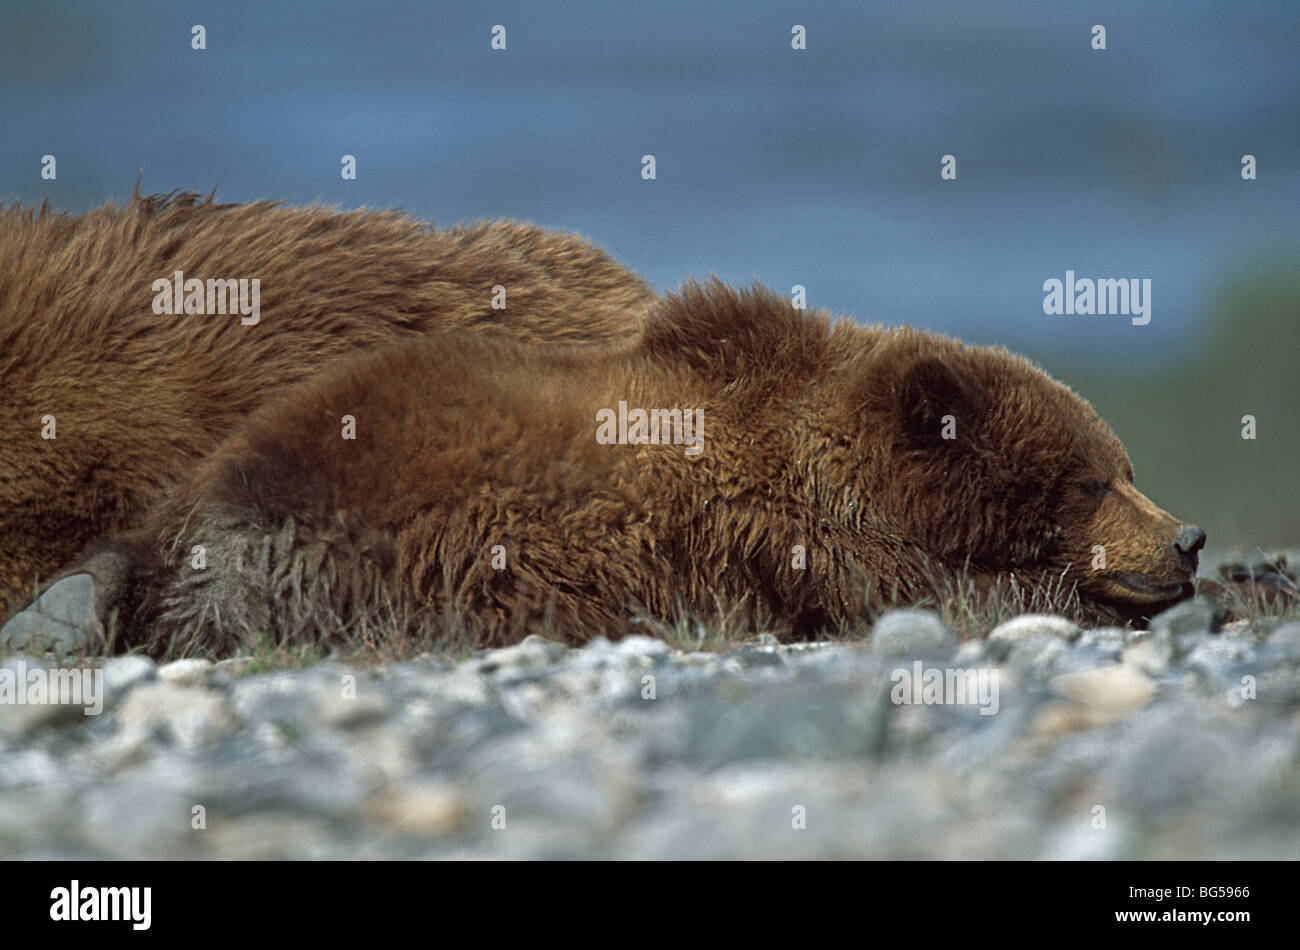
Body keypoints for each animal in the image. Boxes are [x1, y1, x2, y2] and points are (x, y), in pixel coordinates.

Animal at [19, 279, 1206, 657]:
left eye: (1123, 462)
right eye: (1089, 479)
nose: (1188, 536)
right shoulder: (787, 546)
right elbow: (951, 595)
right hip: (370, 543)